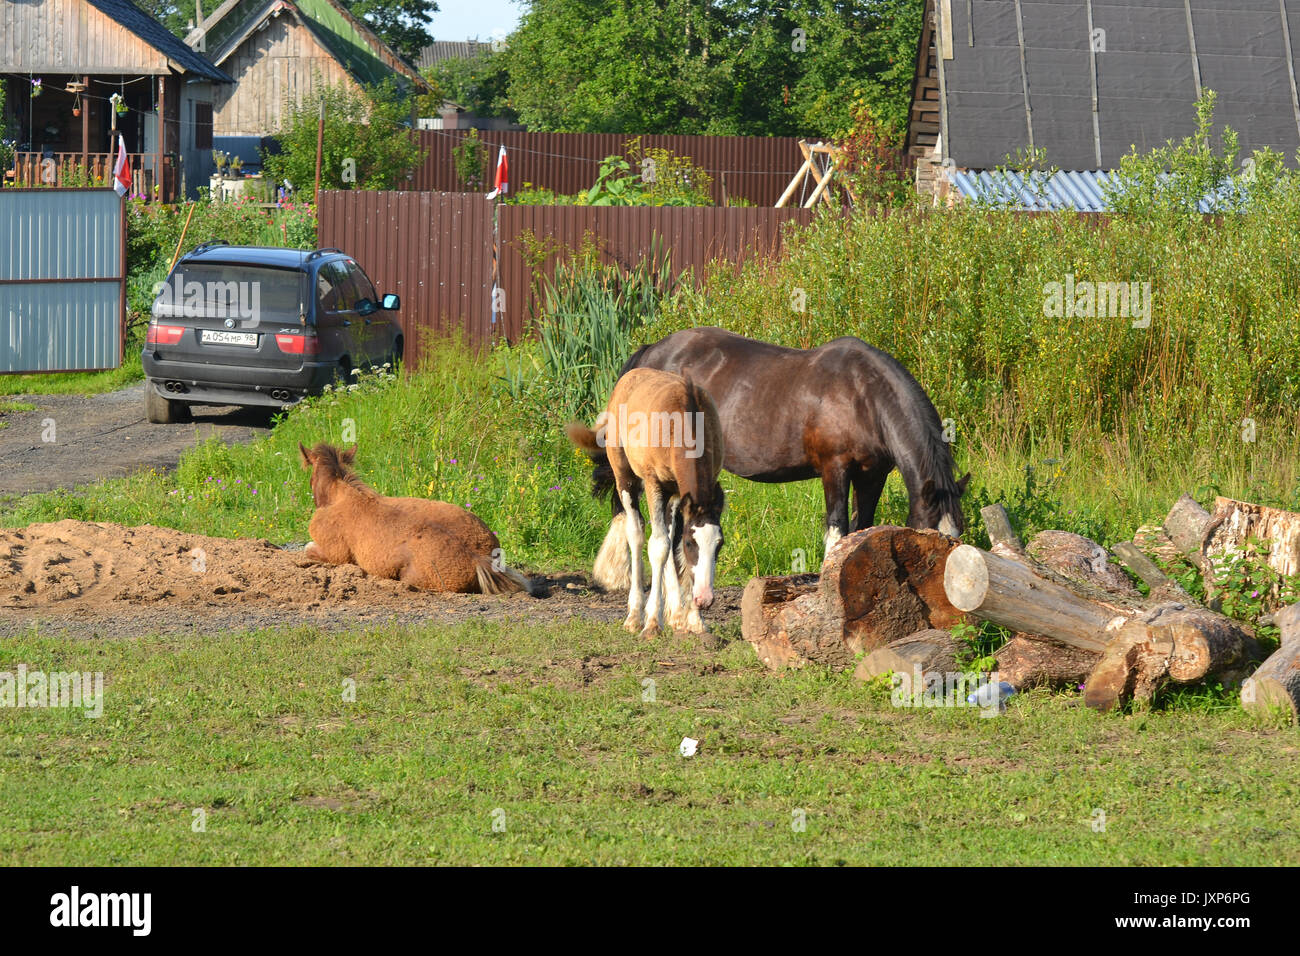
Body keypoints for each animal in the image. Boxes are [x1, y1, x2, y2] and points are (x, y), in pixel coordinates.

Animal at [566, 368, 726, 639]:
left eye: (719, 544)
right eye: (691, 543)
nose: (705, 600)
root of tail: (628, 376)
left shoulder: (681, 490)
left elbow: (673, 546)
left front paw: (694, 620)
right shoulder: (653, 483)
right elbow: (659, 546)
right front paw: (652, 623)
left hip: (671, 494)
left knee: (666, 535)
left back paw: (675, 614)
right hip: (625, 476)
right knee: (637, 532)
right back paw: (634, 616)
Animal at [586, 327, 968, 589]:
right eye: (928, 548)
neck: (864, 396)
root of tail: (652, 352)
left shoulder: (873, 475)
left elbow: (863, 528)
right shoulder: (835, 469)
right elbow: (837, 528)